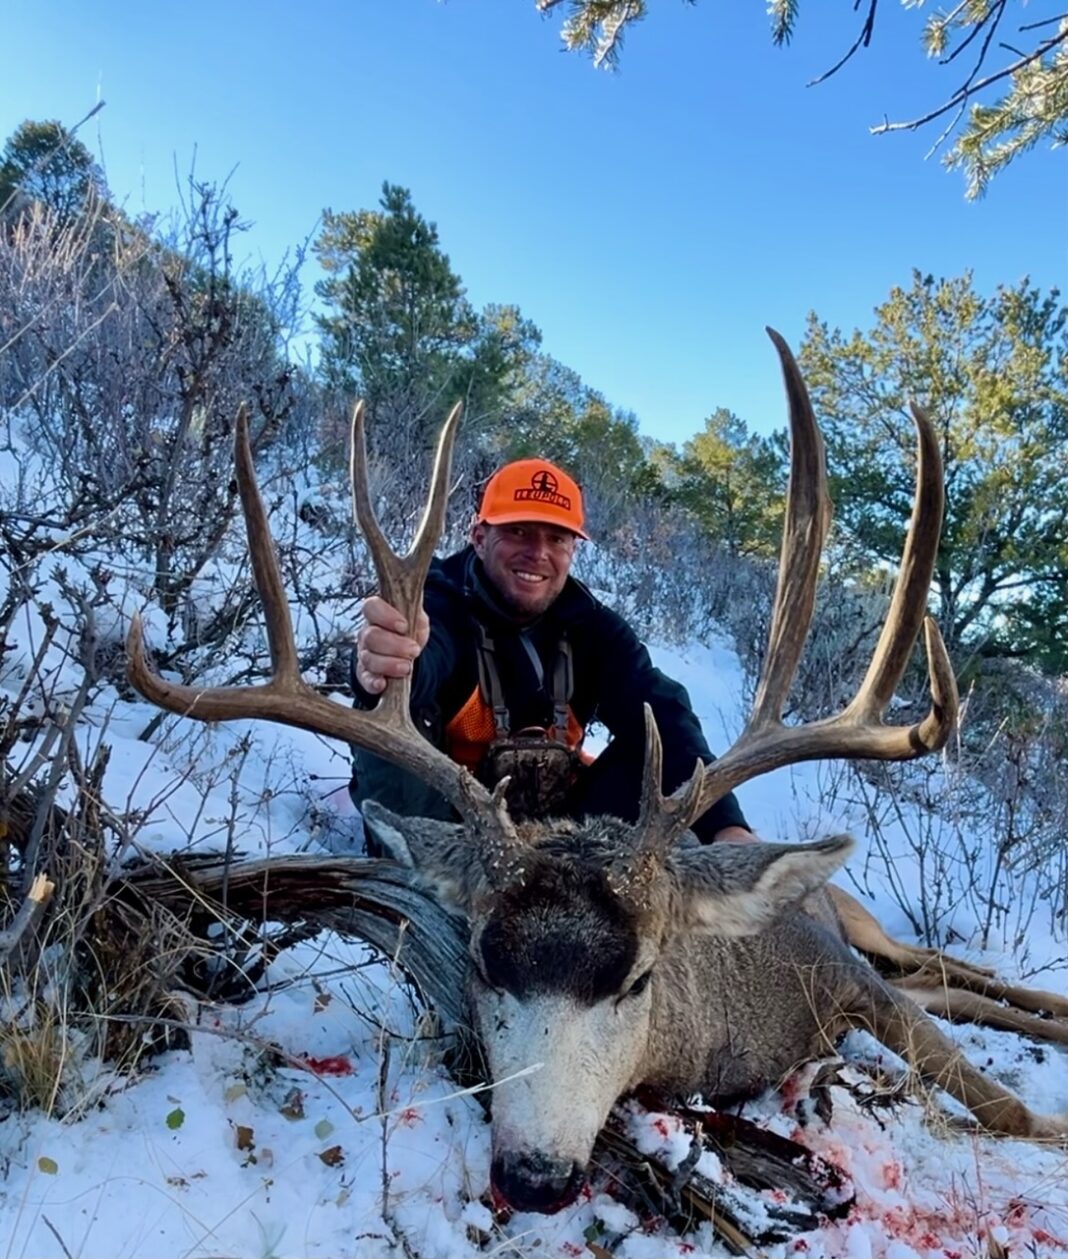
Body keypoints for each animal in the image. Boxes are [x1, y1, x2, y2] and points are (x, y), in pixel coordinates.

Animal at [127, 330, 1068, 1216]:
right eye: (483, 962)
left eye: (638, 977)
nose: (535, 1176)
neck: (730, 1023)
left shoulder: (844, 973)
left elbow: (1000, 1101)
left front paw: (1051, 1122)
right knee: (947, 981)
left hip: (865, 928)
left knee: (953, 972)